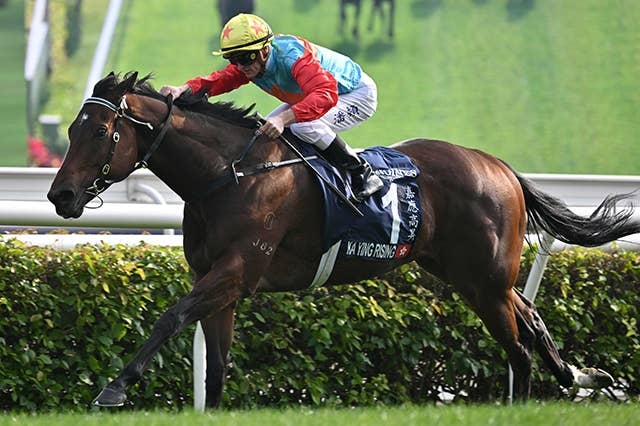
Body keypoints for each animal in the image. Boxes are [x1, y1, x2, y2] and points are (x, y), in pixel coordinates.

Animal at [48, 72, 640, 408]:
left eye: (99, 132)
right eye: (71, 130)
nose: (60, 195)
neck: (232, 173)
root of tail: (500, 167)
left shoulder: (236, 272)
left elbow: (169, 318)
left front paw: (114, 387)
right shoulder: (218, 283)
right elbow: (214, 368)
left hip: (484, 282)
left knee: (517, 349)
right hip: (468, 274)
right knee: (531, 319)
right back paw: (580, 376)